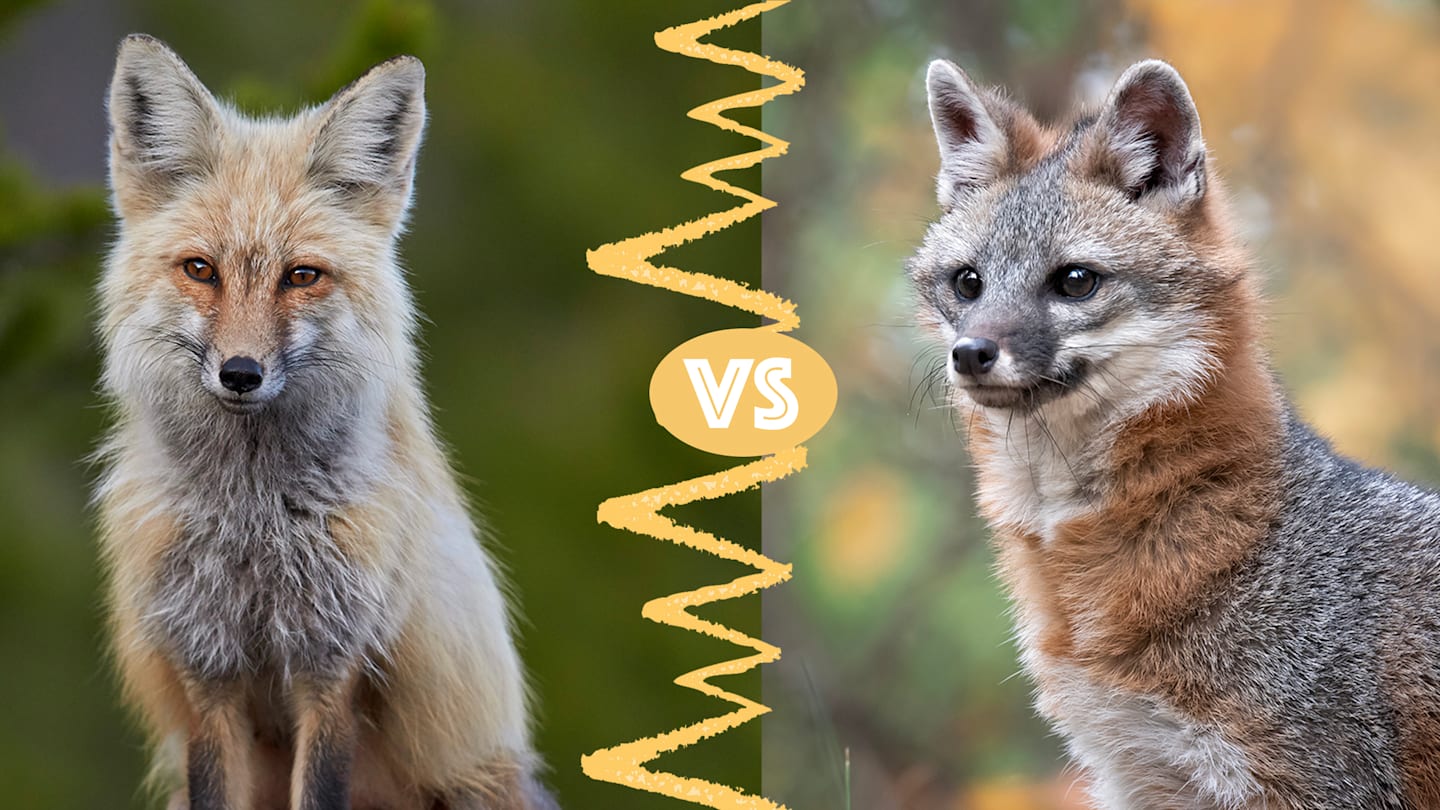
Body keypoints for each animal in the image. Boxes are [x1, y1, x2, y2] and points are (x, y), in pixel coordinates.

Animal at [93, 35, 555, 810]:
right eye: (201, 269)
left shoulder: (333, 668)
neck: (251, 519)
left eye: (301, 276)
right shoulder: (206, 675)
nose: (240, 373)